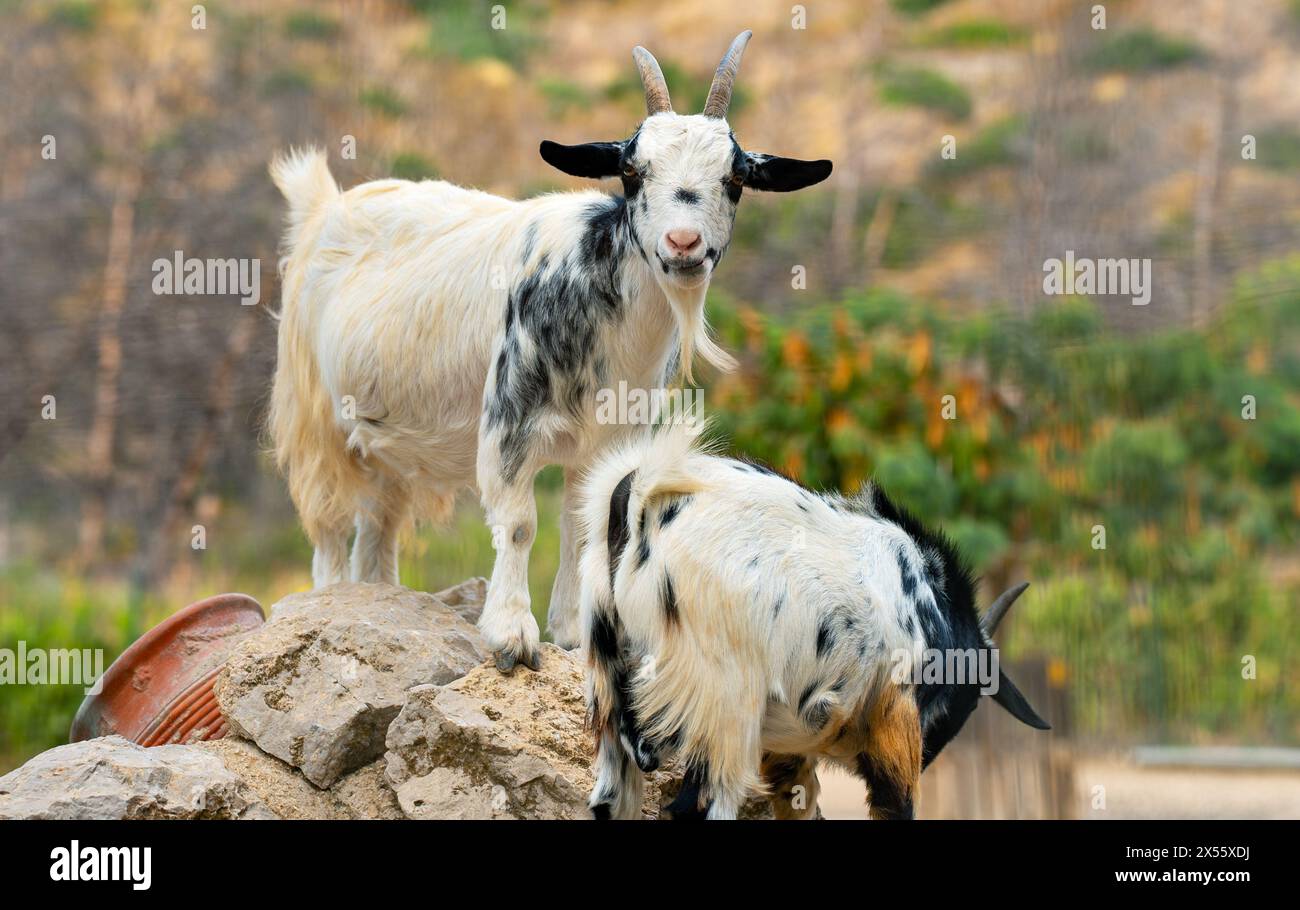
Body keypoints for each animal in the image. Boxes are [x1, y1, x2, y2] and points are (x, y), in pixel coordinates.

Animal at [267, 31, 833, 671]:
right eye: (631, 172)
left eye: (735, 179)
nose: (683, 242)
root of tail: (323, 207)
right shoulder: (509, 423)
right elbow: (519, 524)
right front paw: (512, 636)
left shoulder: (609, 441)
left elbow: (582, 526)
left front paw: (571, 632)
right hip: (314, 418)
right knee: (330, 529)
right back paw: (332, 599)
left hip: (385, 442)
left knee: (377, 530)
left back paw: (379, 601)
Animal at [578, 426, 1050, 819]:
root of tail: (640, 498)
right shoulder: (894, 722)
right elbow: (894, 805)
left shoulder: (788, 753)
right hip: (724, 712)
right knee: (703, 805)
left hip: (612, 687)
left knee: (610, 801)